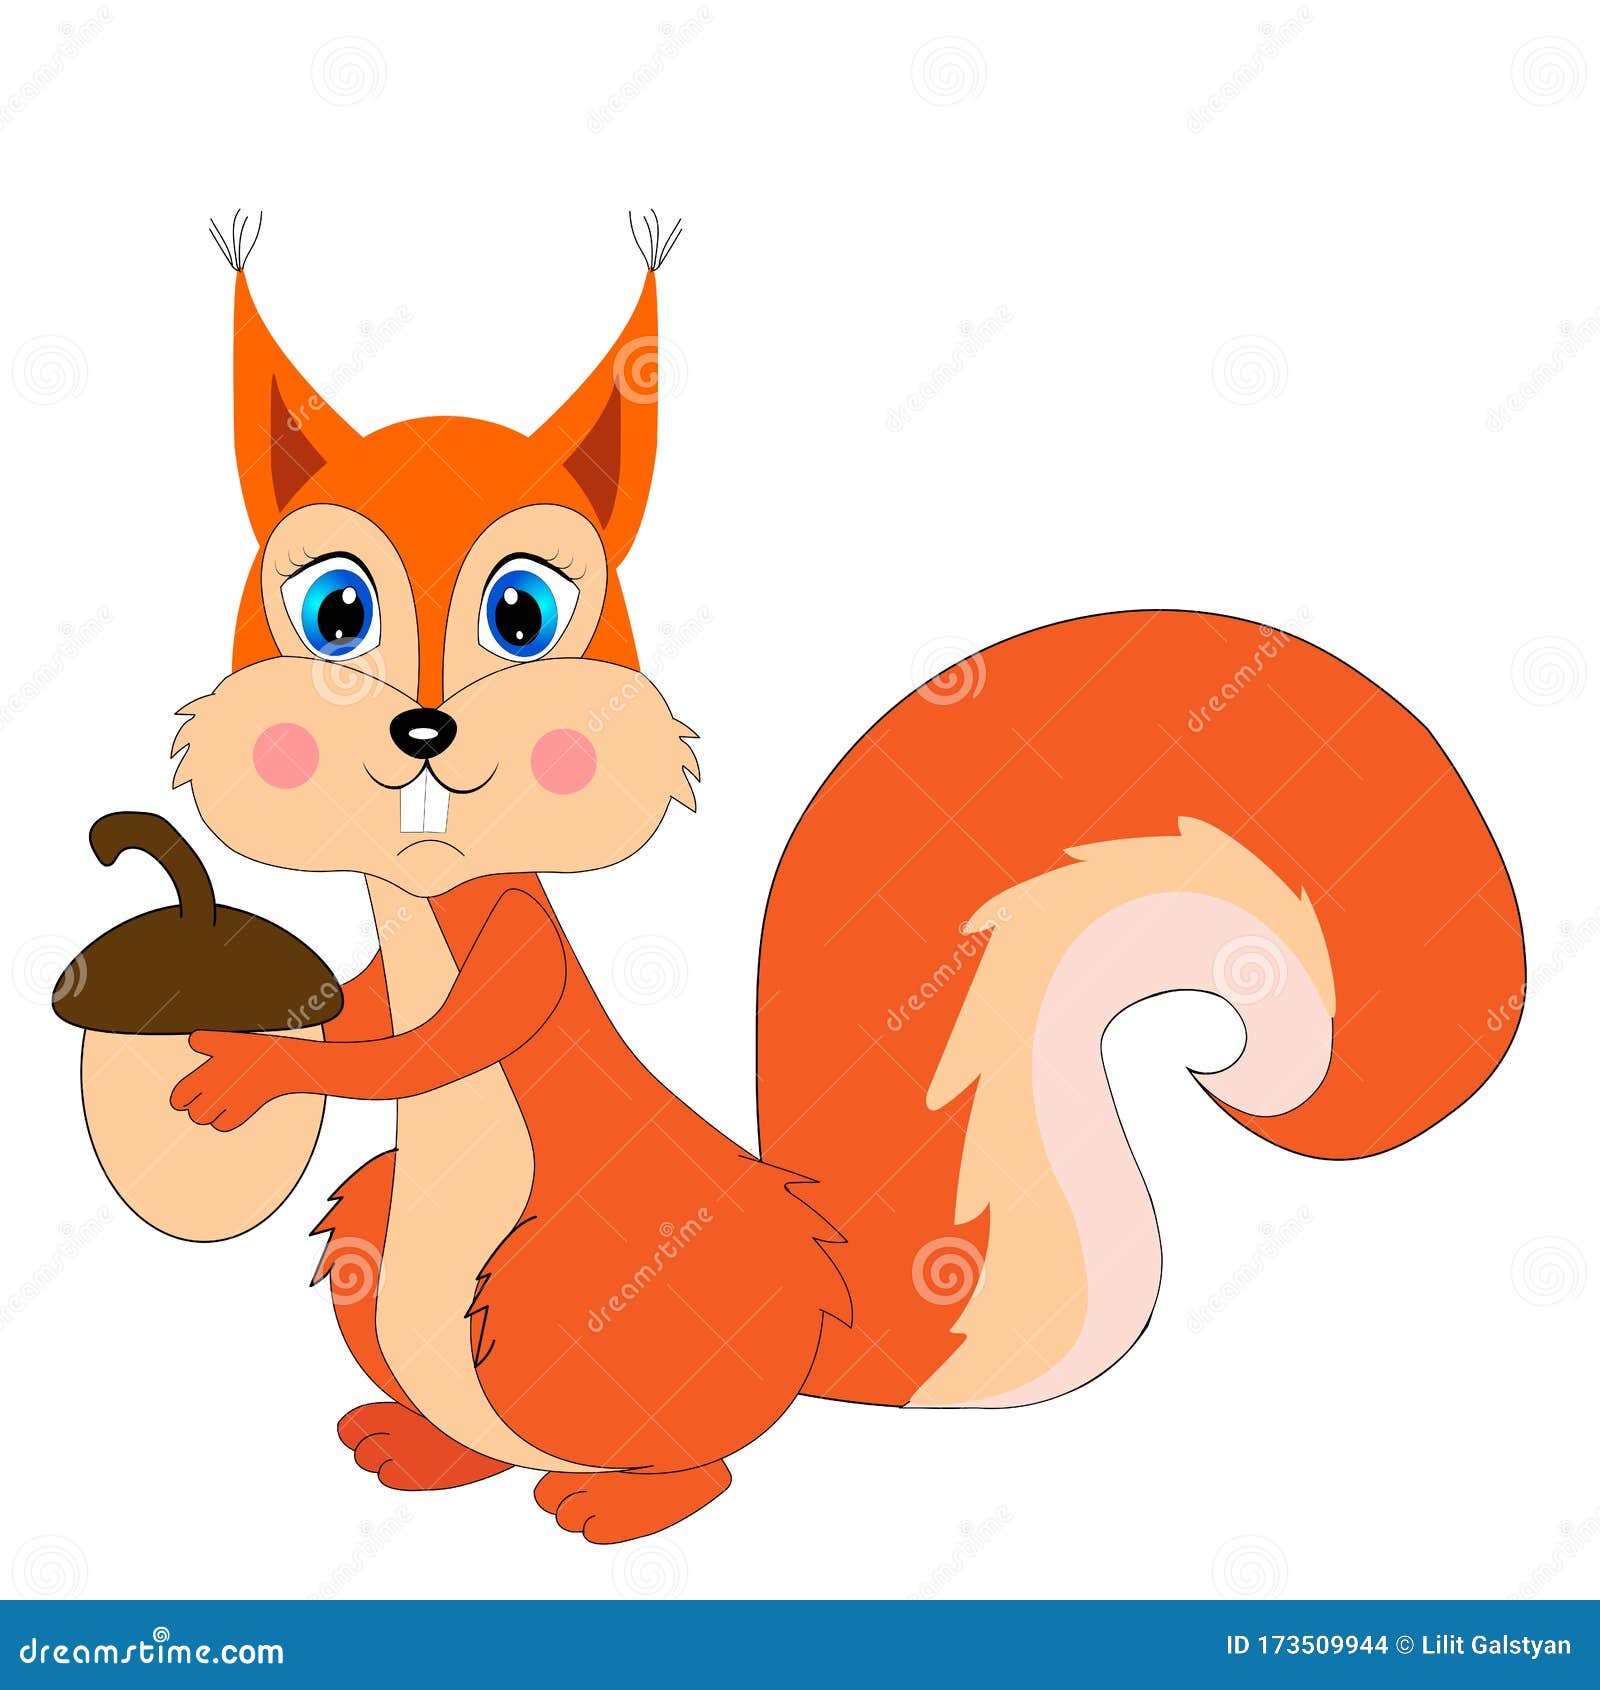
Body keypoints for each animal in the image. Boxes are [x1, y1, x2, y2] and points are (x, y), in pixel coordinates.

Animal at [103, 211, 1524, 1544]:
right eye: (334, 612)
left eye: (524, 615)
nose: (422, 732)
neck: (421, 896)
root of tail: (812, 1328)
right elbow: (366, 1009)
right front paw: (279, 1027)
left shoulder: (513, 940)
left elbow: (442, 1038)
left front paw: (259, 1069)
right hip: (376, 1230)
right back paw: (424, 1446)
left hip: (558, 1298)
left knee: (705, 1458)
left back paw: (618, 1501)